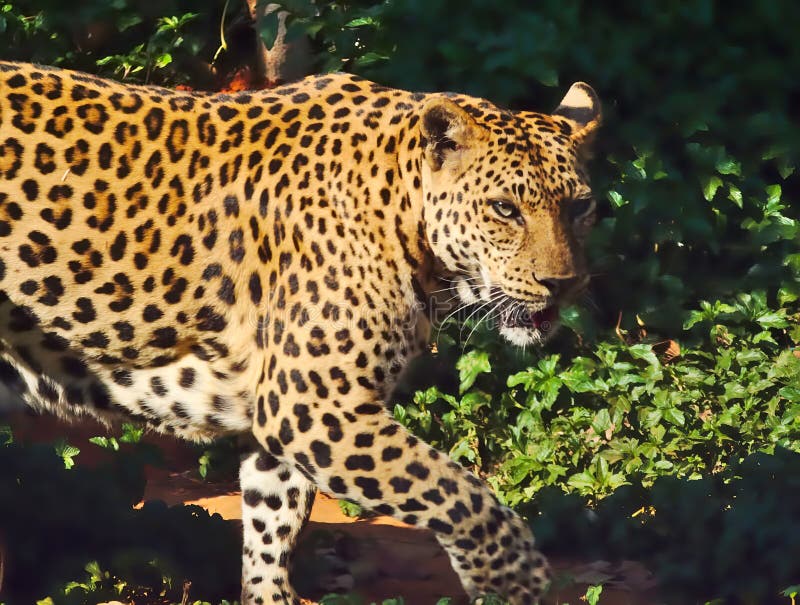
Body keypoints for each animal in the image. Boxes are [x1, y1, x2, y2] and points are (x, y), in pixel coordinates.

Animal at [0, 60, 600, 604]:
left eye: (582, 207)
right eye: (504, 208)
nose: (563, 284)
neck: (401, 211)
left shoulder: (289, 423)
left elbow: (272, 529)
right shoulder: (315, 405)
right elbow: (456, 490)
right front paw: (514, 578)